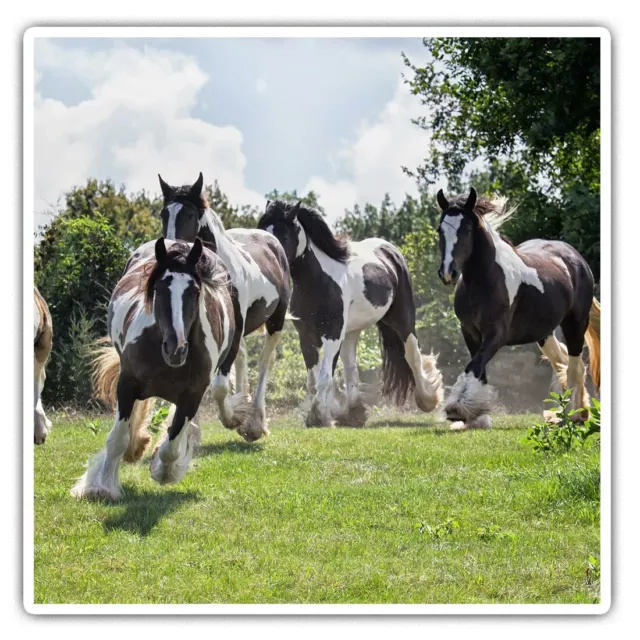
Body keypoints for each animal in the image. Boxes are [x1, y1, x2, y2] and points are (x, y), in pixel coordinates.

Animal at [71, 238, 238, 501]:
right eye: (159, 289)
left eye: (195, 291)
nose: (176, 349)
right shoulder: (127, 384)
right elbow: (117, 438)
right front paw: (100, 487)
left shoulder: (192, 396)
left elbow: (172, 444)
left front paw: (163, 470)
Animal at [153, 173, 291, 442]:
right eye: (164, 213)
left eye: (189, 214)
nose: (172, 250)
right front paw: (188, 433)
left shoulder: (233, 333)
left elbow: (219, 387)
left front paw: (234, 418)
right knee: (243, 359)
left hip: (275, 323)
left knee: (264, 363)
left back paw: (254, 423)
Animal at [257, 200, 444, 427]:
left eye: (283, 236)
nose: (269, 262)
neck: (318, 282)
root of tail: (390, 250)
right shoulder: (306, 336)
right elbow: (314, 381)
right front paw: (325, 413)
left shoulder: (332, 335)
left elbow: (324, 377)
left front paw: (318, 416)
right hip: (351, 332)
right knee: (351, 368)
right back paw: (354, 413)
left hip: (403, 319)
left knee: (412, 355)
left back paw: (427, 400)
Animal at [435, 187, 600, 430]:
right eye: (440, 230)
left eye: (466, 229)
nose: (448, 273)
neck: (484, 280)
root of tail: (576, 259)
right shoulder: (470, 332)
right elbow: (478, 368)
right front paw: (476, 418)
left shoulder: (496, 334)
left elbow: (474, 365)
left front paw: (457, 409)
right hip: (544, 333)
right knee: (562, 360)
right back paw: (568, 412)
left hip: (575, 323)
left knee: (575, 366)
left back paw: (575, 415)